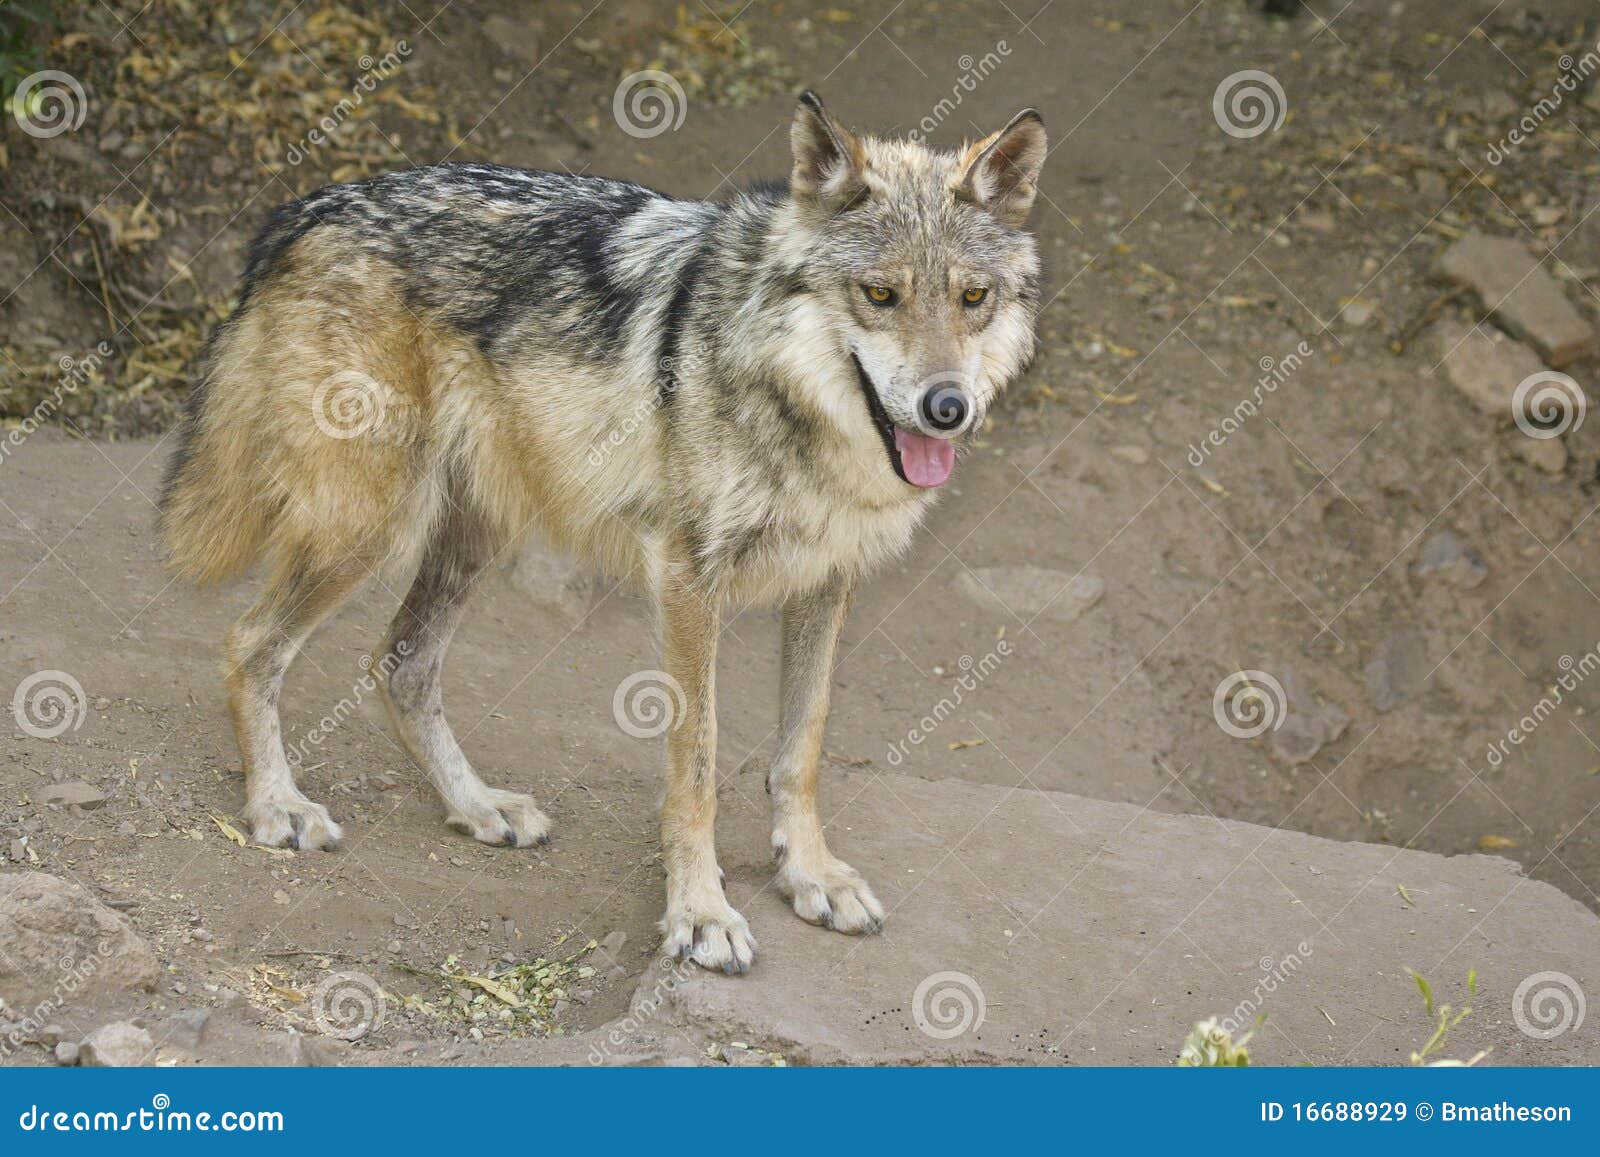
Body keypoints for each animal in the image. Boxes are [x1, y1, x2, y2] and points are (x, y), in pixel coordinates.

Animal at [159, 92, 1046, 973]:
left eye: (972, 299)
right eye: (880, 295)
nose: (946, 407)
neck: (795, 410)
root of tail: (303, 209)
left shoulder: (827, 583)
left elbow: (803, 748)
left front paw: (811, 876)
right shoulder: (689, 579)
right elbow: (698, 766)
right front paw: (701, 913)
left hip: (471, 536)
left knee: (398, 666)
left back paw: (477, 806)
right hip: (367, 528)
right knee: (249, 644)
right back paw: (277, 806)